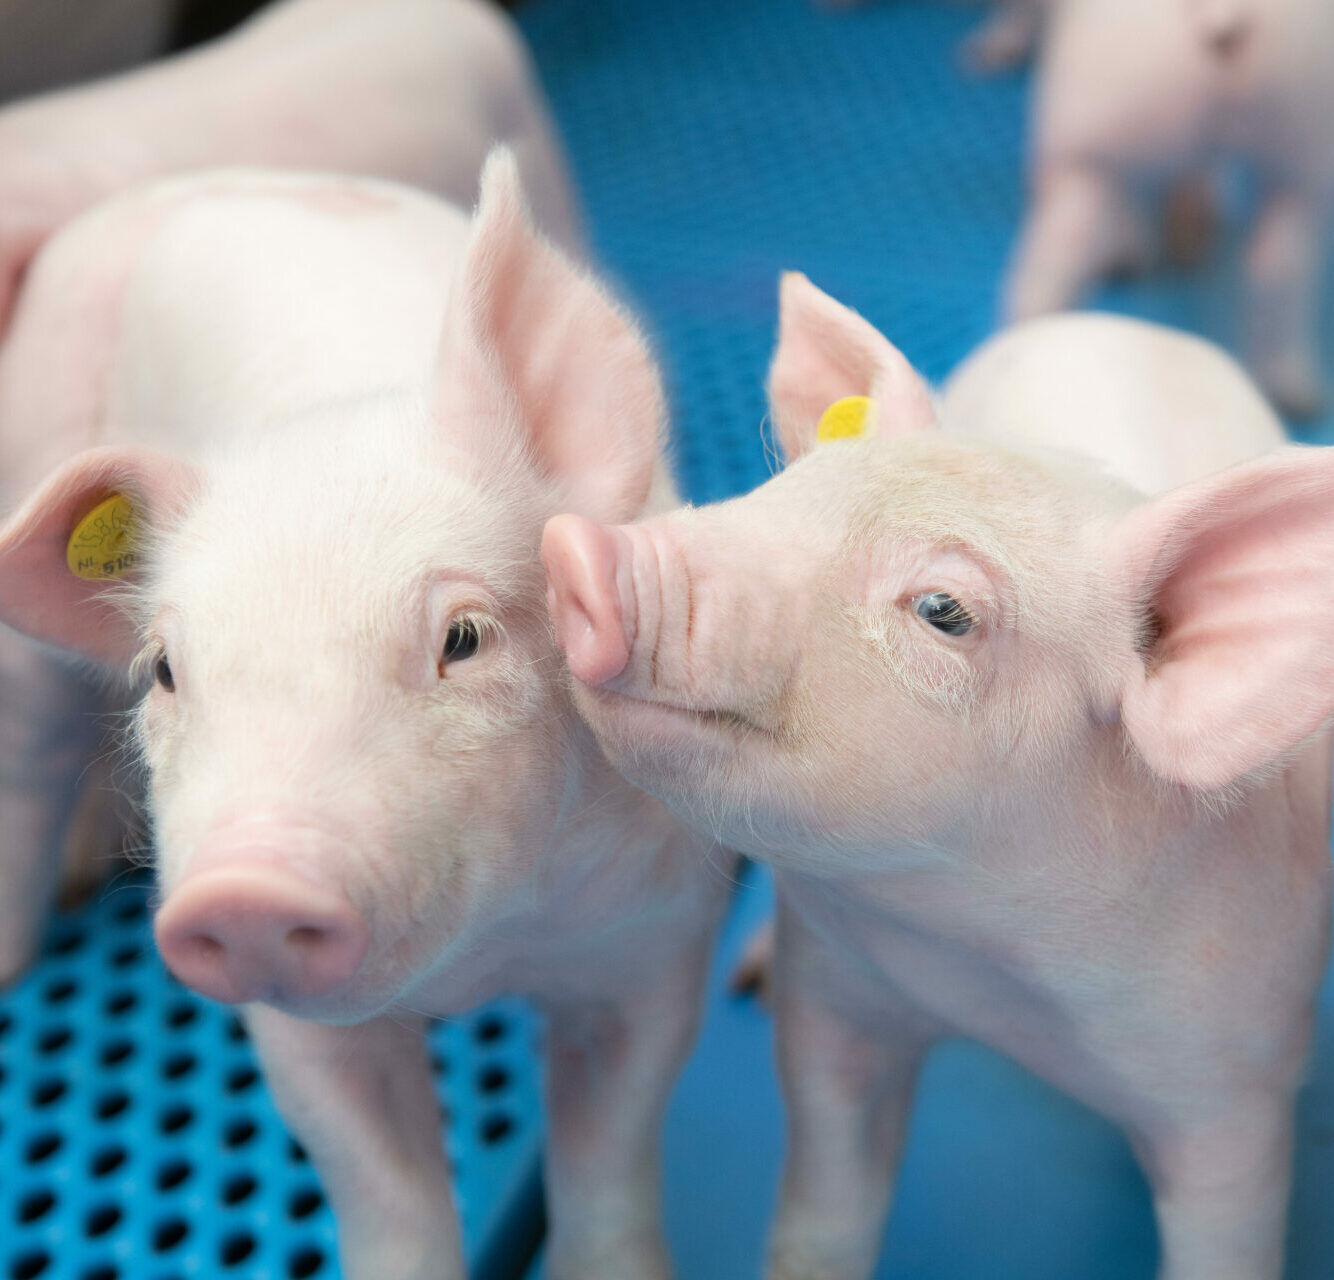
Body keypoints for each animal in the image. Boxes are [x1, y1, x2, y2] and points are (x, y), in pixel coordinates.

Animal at [0, 158, 728, 1280]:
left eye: (463, 637)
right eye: (165, 669)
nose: (246, 888)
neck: (485, 958)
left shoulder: (660, 936)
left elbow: (608, 1169)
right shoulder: (295, 1031)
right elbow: (382, 1191)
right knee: (28, 758)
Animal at [542, 274, 1334, 1280]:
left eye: (944, 611)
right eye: (785, 488)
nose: (576, 548)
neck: (995, 976)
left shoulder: (1240, 1092)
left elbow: (1228, 1235)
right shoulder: (835, 995)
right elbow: (824, 1203)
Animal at [1007, 0, 1334, 418]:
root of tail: (1223, 14)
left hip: (1081, 150)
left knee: (1052, 263)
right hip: (1301, 161)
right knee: (1282, 272)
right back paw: (1293, 386)